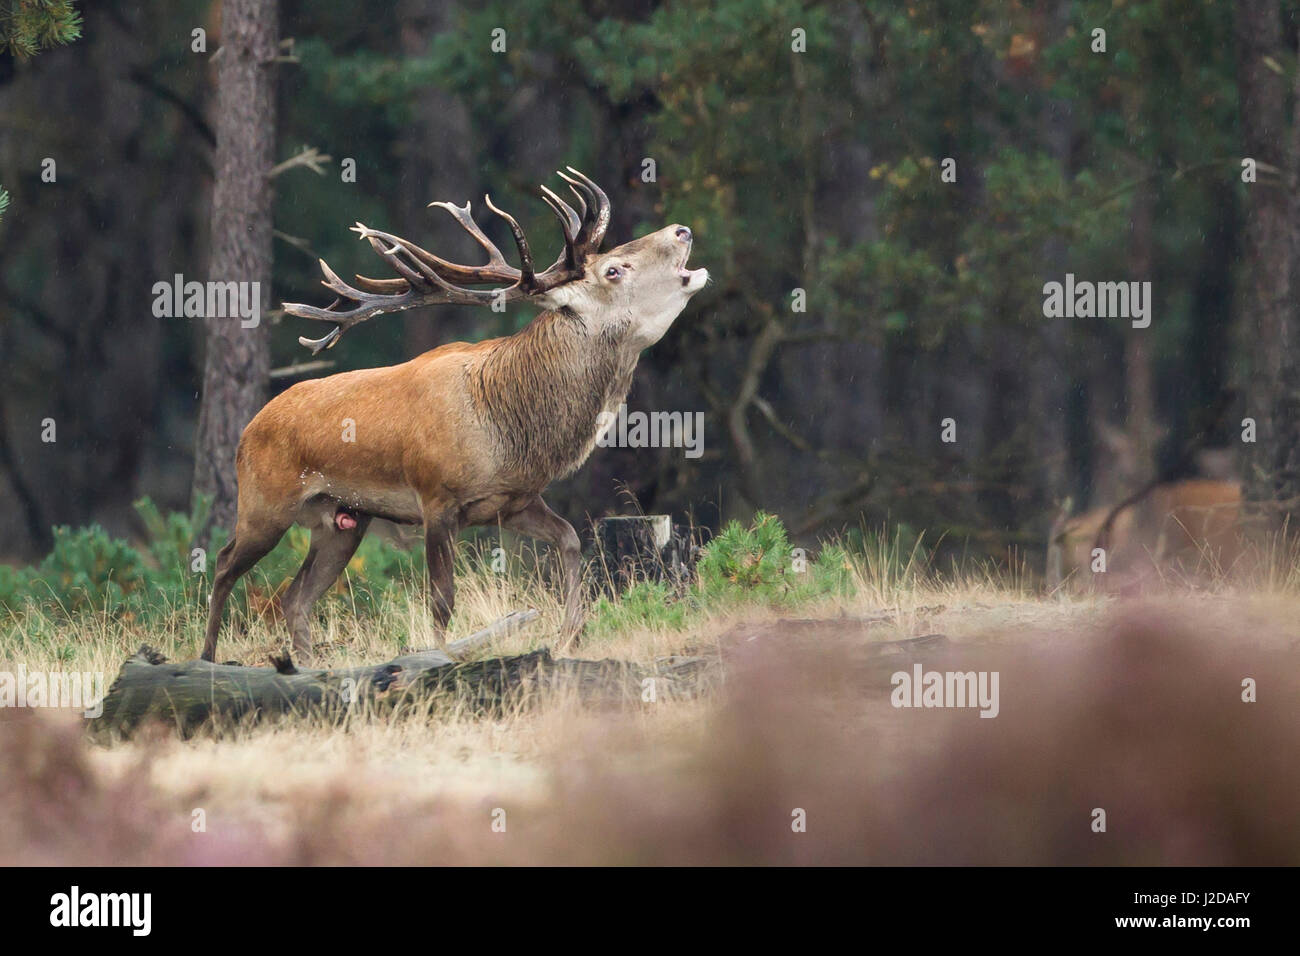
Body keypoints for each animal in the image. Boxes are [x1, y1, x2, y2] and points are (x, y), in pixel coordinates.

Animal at [200, 168, 708, 663]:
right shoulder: (436, 499)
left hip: (343, 522)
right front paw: (441, 660)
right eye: (613, 269)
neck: (511, 431)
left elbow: (570, 539)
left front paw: (569, 635)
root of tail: (248, 431)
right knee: (224, 564)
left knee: (295, 596)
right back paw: (208, 655)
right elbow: (442, 600)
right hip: (265, 503)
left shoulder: (515, 500)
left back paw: (304, 663)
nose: (681, 230)